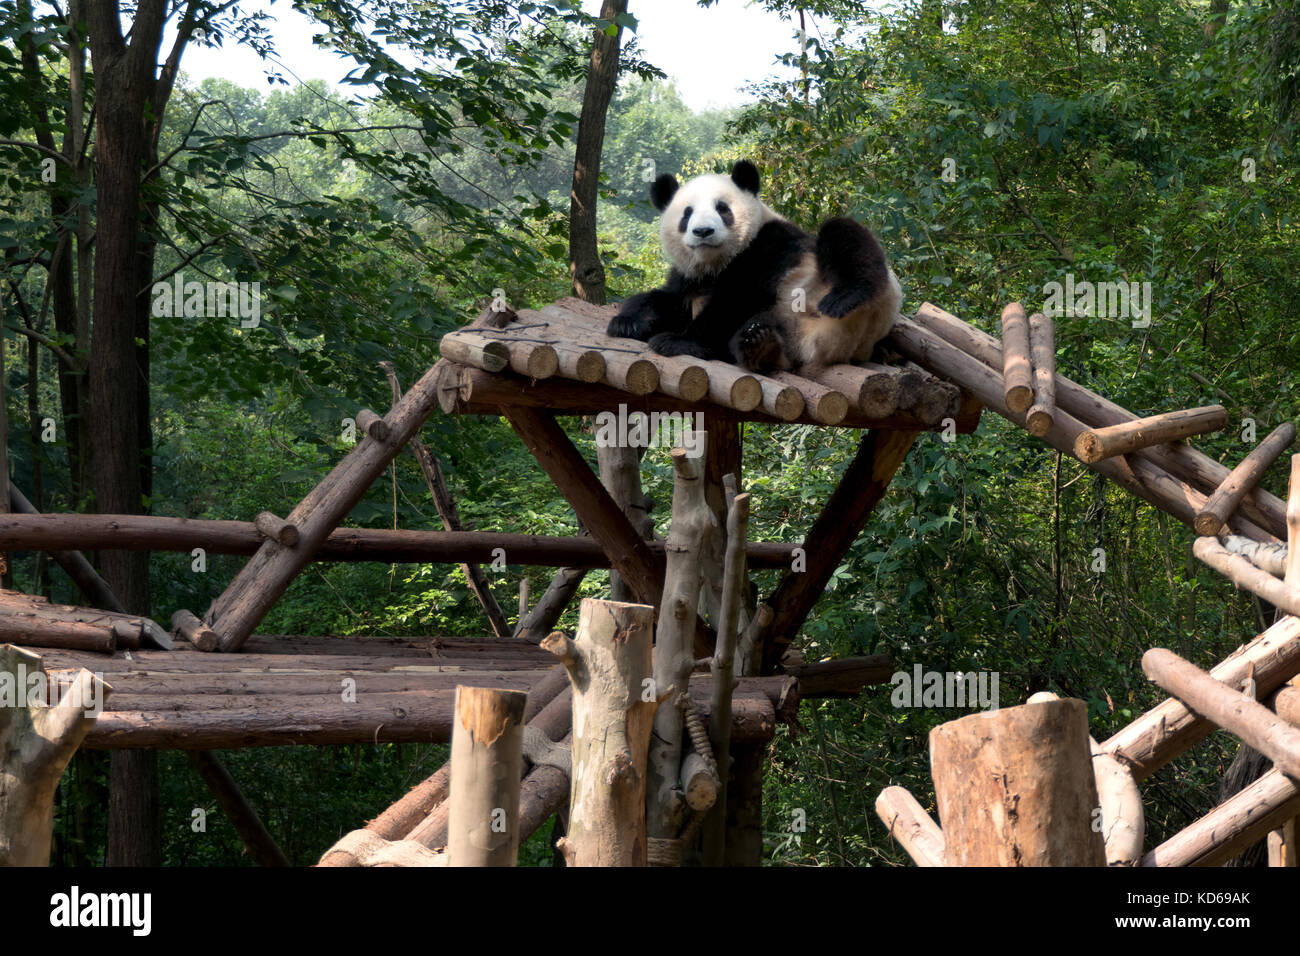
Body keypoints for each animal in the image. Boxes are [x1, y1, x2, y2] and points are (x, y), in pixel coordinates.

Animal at [606, 160, 902, 379]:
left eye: (722, 209)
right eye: (687, 214)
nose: (703, 231)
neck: (717, 262)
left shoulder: (768, 247)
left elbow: (733, 301)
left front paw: (675, 340)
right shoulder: (690, 277)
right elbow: (667, 300)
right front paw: (627, 322)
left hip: (855, 290)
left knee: (843, 234)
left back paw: (845, 298)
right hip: (788, 328)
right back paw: (759, 345)